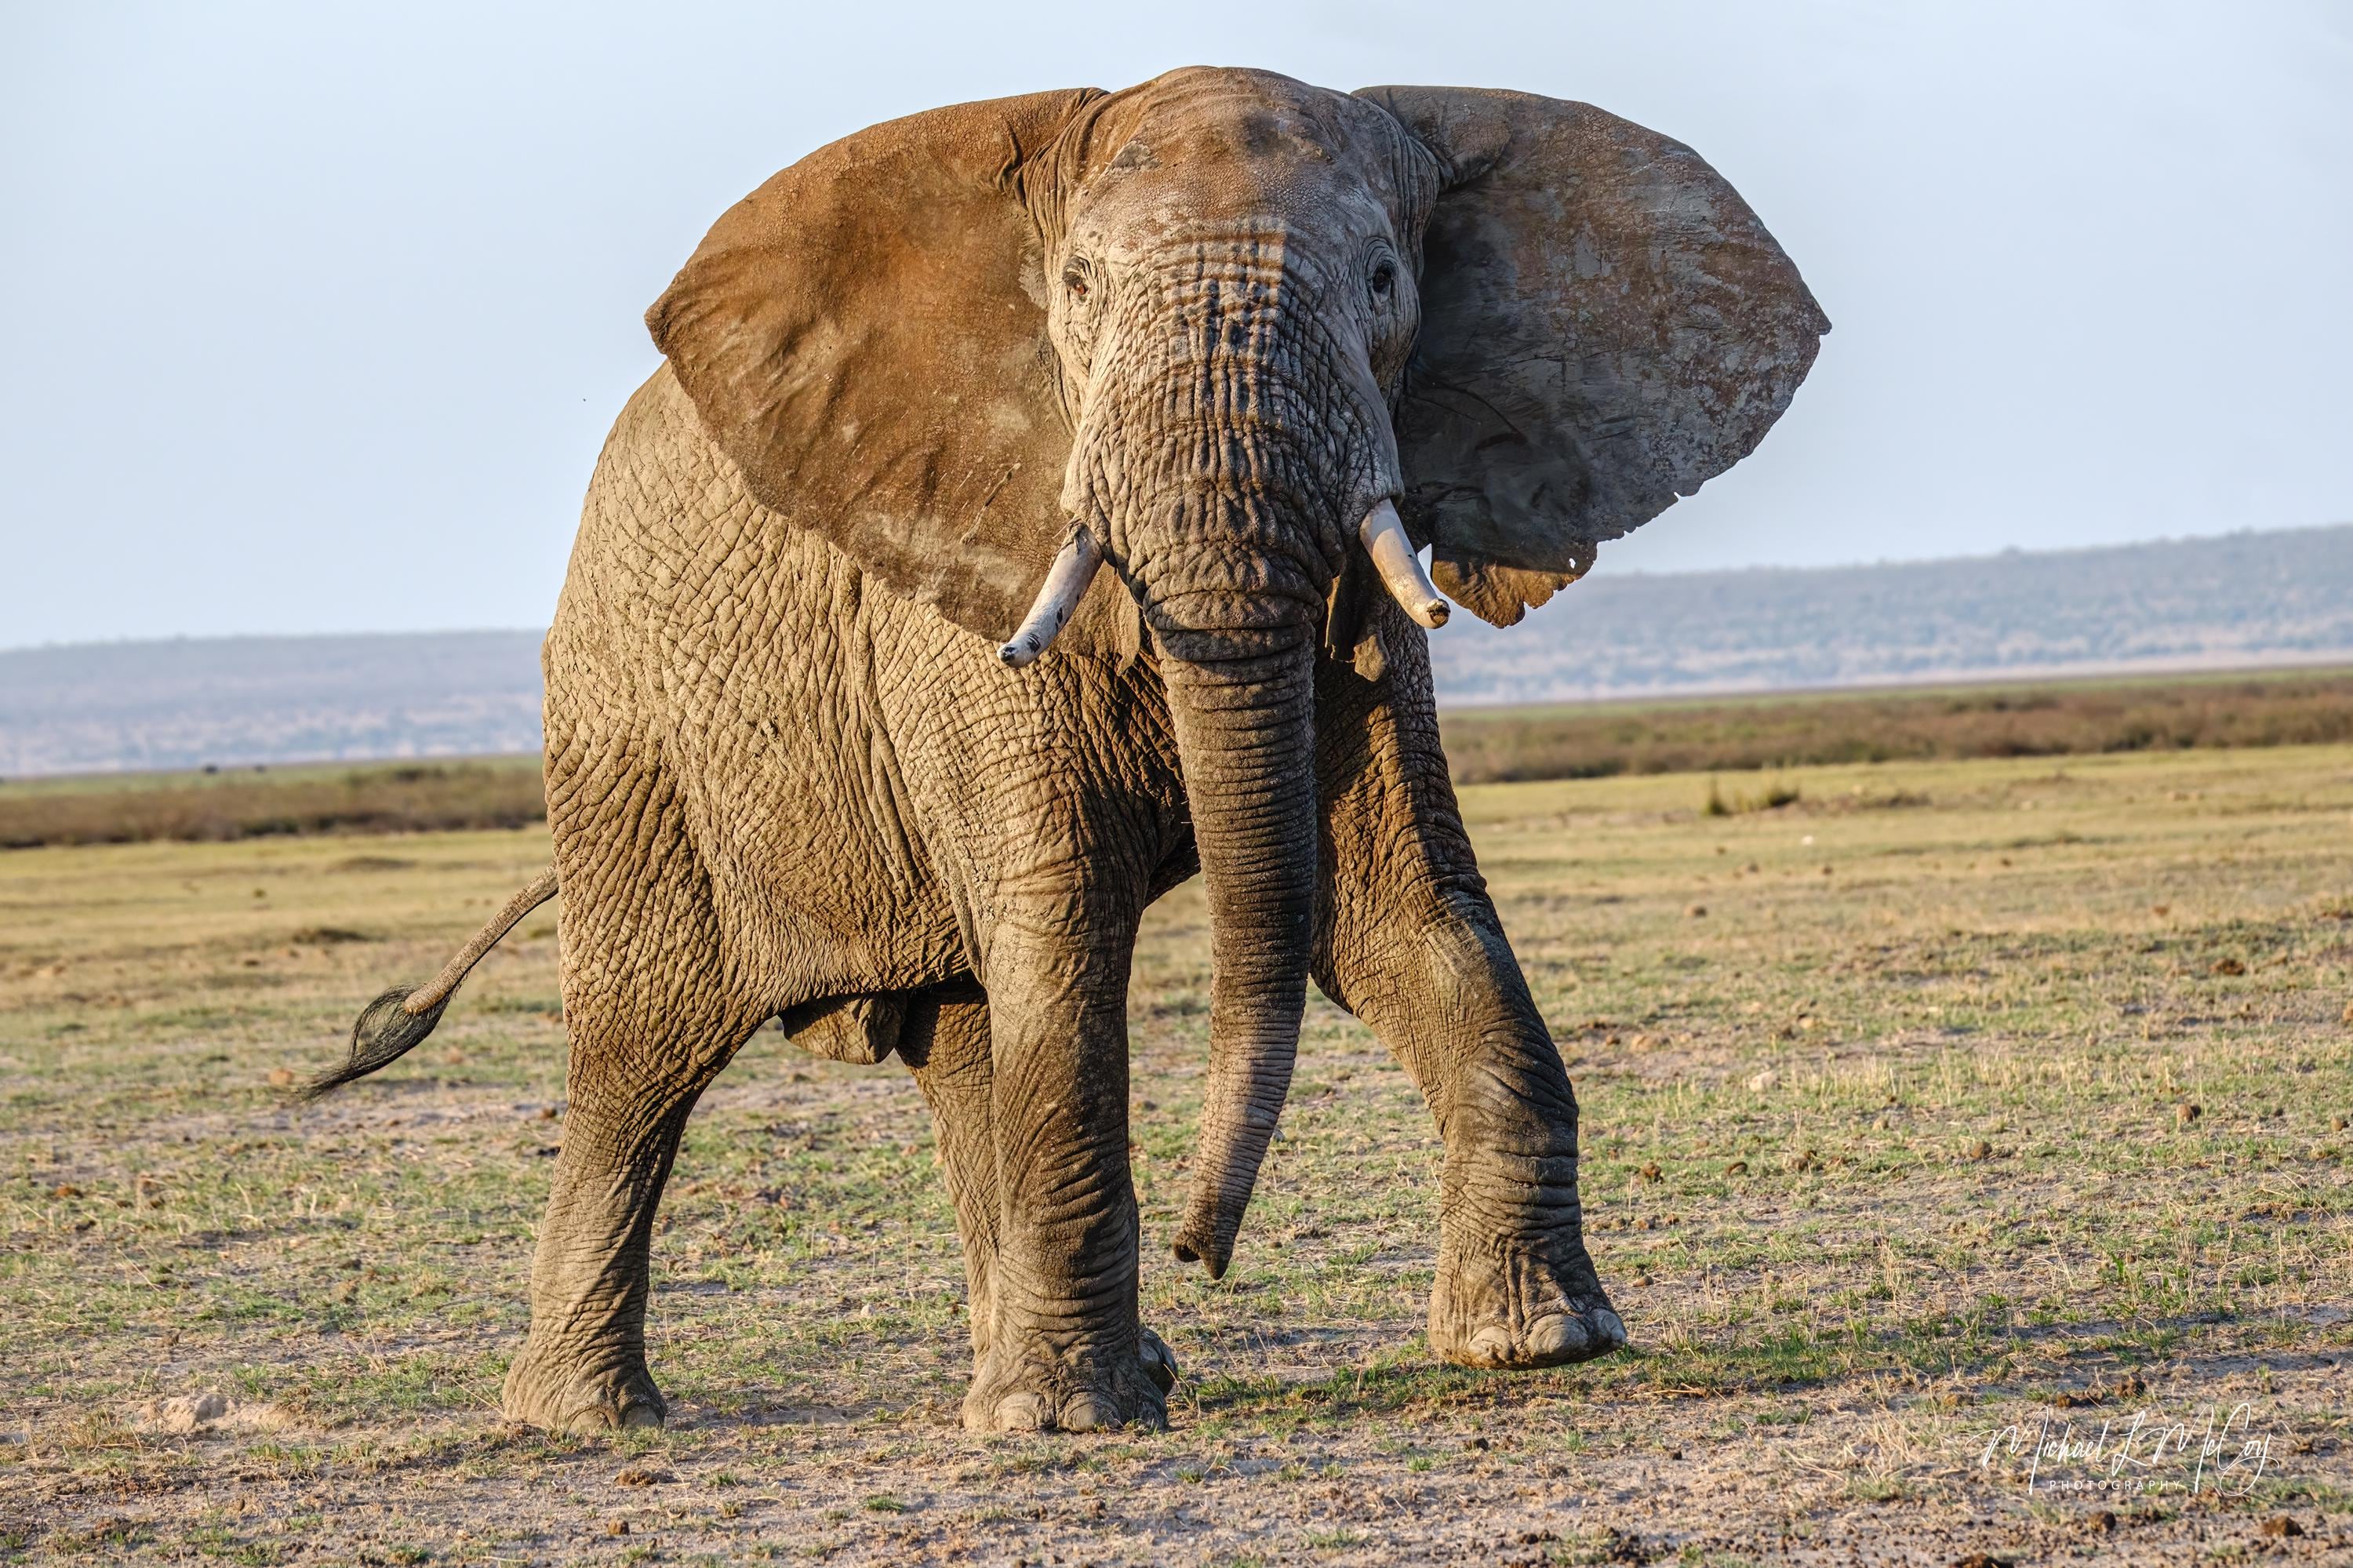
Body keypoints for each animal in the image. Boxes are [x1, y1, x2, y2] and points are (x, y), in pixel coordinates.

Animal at [311, 66, 1825, 1435]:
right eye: (1083, 288)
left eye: (1387, 282)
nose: (1207, 1249)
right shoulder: (965, 594)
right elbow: (1070, 939)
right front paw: (1070, 1420)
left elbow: (1400, 915)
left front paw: (1540, 1340)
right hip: (625, 741)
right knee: (642, 1057)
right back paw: (589, 1415)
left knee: (962, 1034)